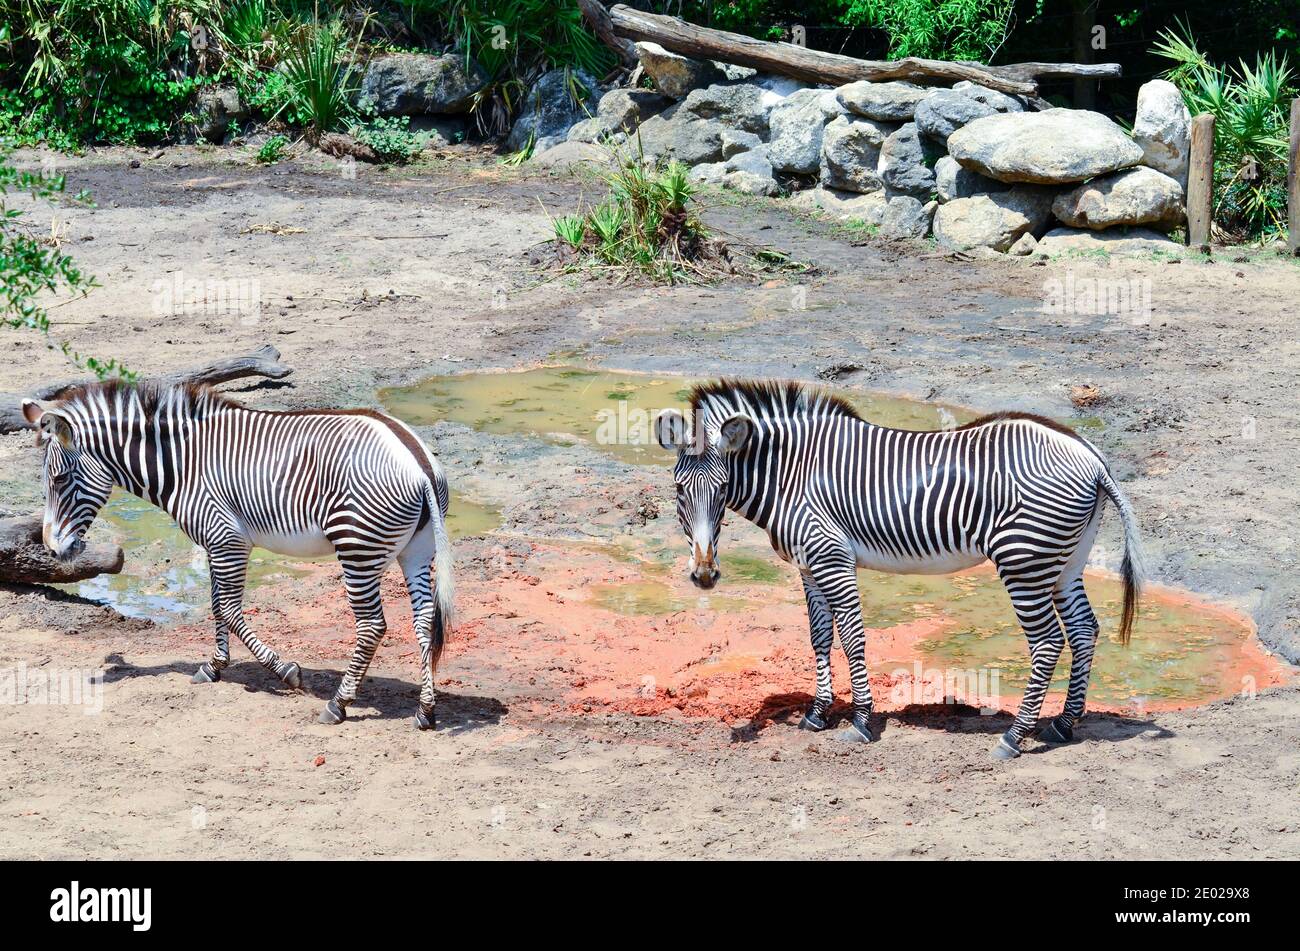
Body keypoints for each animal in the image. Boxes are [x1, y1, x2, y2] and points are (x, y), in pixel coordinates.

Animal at [21, 380, 454, 729]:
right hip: (416, 552)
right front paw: (213, 667)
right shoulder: (216, 544)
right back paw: (425, 710)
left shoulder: (227, 539)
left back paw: (338, 704)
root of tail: (418, 463)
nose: (54, 549)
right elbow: (216, 606)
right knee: (423, 621)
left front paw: (287, 672)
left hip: (357, 549)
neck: (182, 463)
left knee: (372, 626)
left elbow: (229, 610)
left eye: (59, 479)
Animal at [655, 379, 1142, 759]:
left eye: (722, 490)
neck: (791, 474)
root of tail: (1091, 458)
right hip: (1065, 560)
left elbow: (852, 637)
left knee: (1046, 642)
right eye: (679, 489)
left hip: (1023, 559)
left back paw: (1013, 736)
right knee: (1084, 629)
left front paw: (860, 721)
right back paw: (1063, 725)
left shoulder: (831, 556)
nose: (704, 575)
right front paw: (816, 714)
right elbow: (819, 637)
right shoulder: (808, 566)